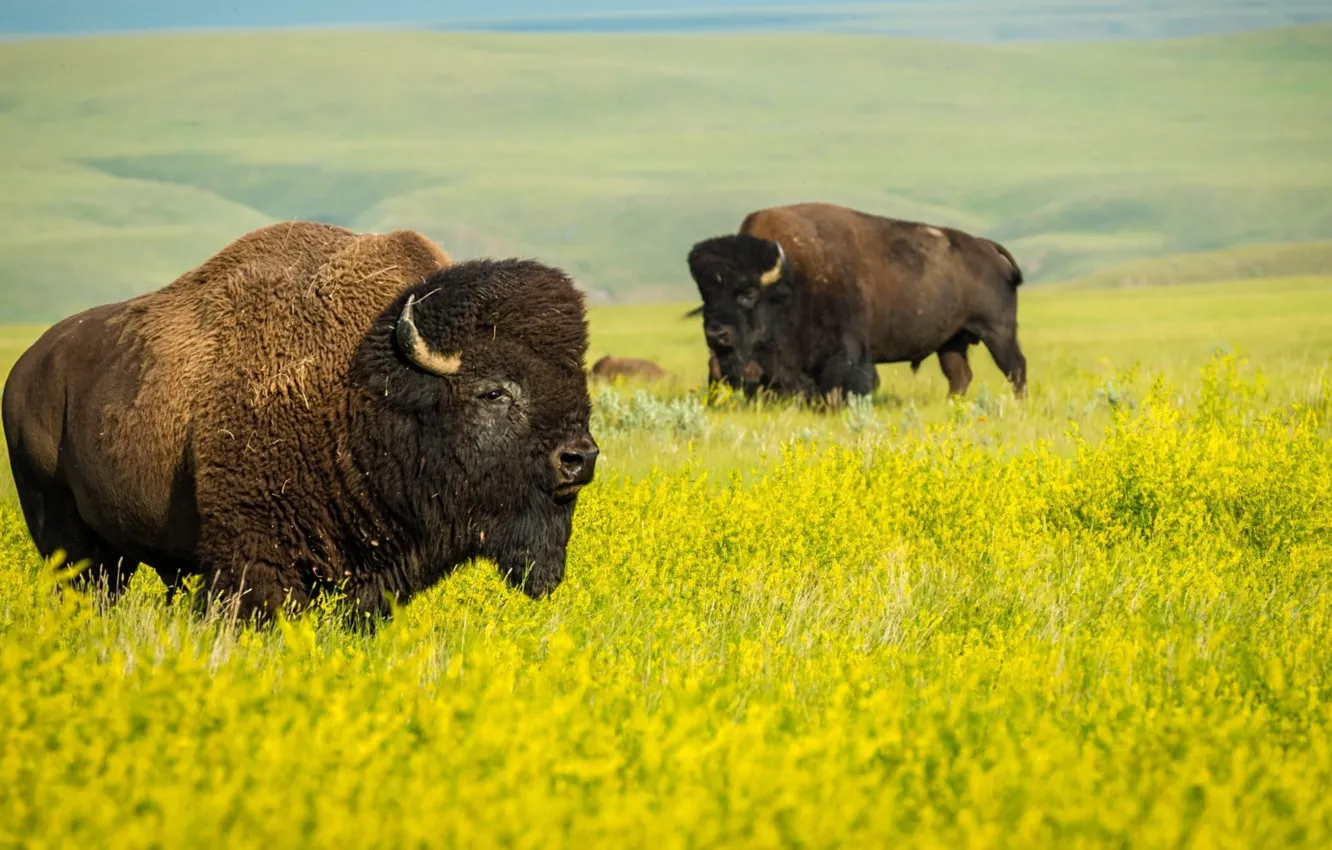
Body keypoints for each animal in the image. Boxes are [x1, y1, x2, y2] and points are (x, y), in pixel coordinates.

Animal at [2, 221, 599, 623]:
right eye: (494, 390)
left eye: (579, 384)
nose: (580, 458)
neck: (363, 388)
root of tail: (27, 368)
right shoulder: (255, 560)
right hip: (64, 536)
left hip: (112, 550)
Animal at [686, 202, 1027, 402]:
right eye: (706, 296)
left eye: (748, 294)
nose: (716, 334)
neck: (792, 279)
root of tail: (986, 246)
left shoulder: (845, 352)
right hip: (952, 341)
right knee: (960, 376)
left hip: (997, 331)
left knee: (1015, 368)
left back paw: (1018, 406)